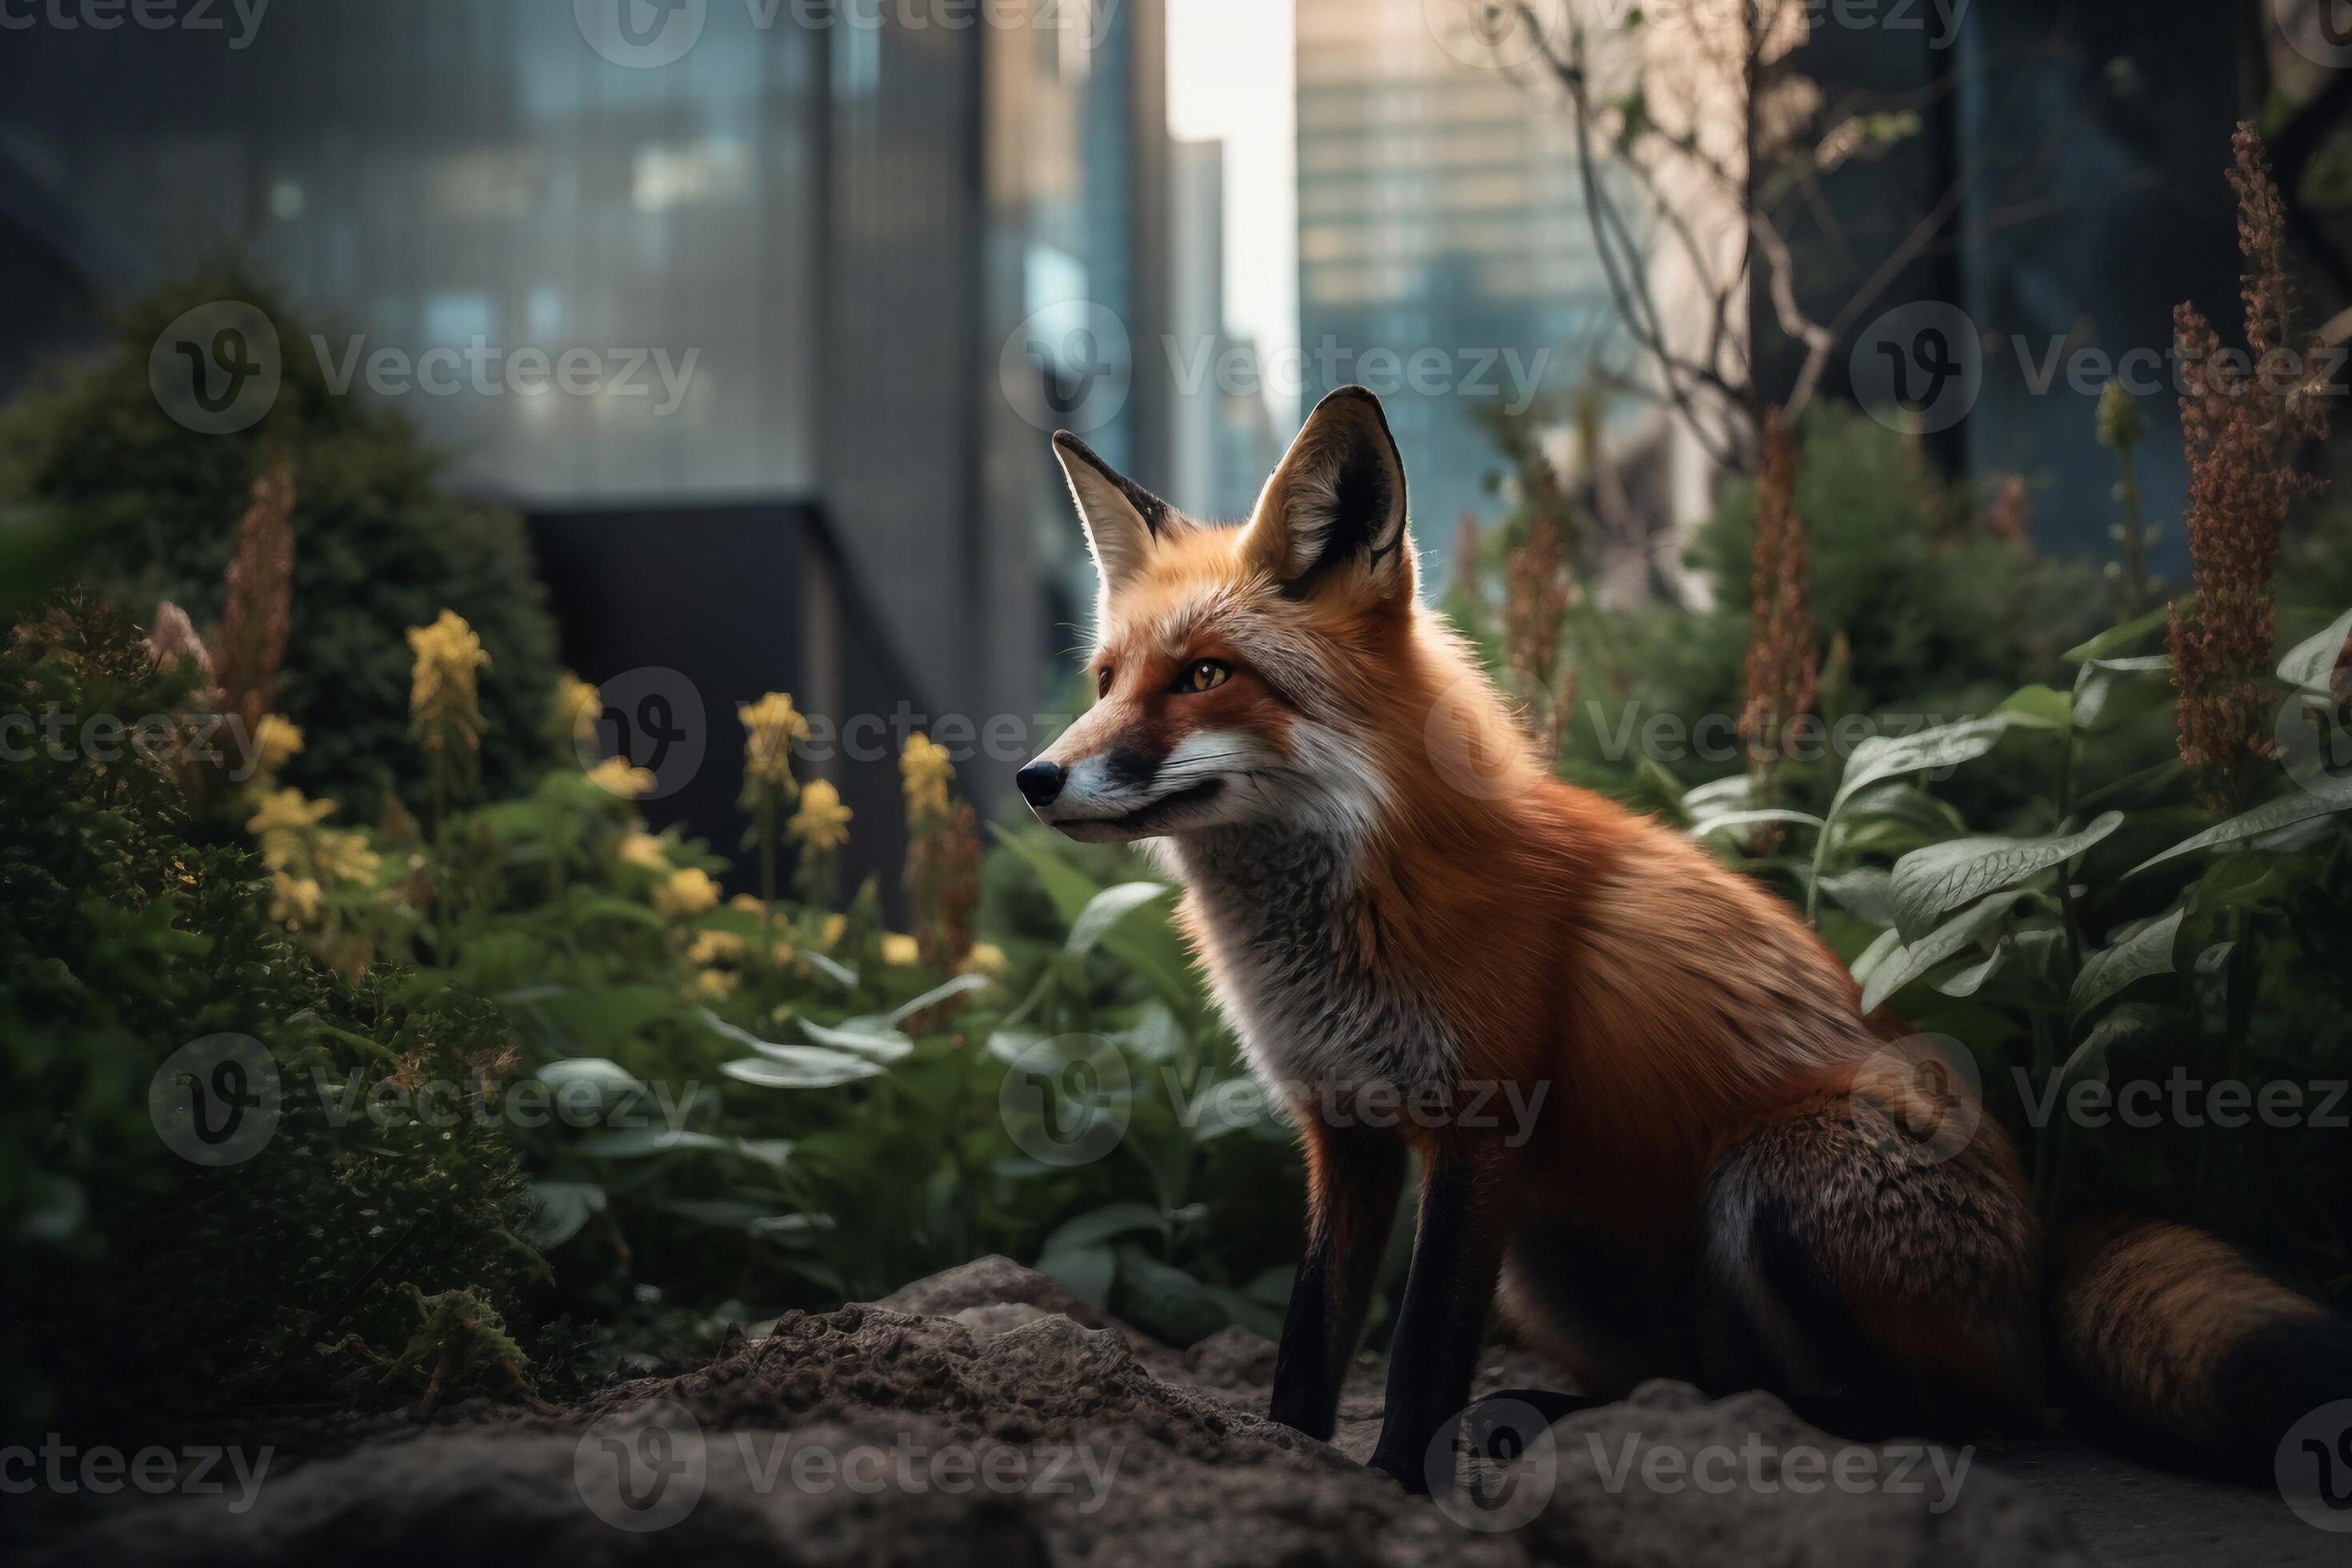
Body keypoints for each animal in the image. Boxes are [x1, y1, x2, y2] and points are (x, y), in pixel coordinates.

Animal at [1016, 385, 2352, 1493]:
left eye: (1205, 677)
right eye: (1105, 678)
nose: (1035, 779)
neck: (1348, 908)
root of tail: (2036, 1272)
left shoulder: (1479, 1129)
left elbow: (1419, 1356)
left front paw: (1392, 1489)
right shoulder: (1344, 1132)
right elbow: (1310, 1338)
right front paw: (1285, 1465)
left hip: (1781, 1177)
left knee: (1935, 1413)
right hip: (1557, 1259)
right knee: (1716, 1382)